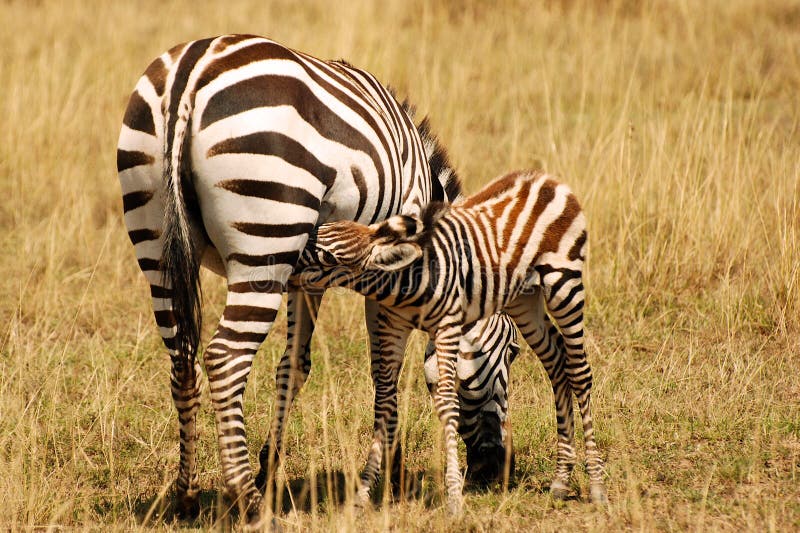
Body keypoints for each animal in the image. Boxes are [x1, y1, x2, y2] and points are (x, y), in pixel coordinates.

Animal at [116, 34, 515, 526]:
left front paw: (270, 467)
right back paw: (248, 502)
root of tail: (189, 73)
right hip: (264, 241)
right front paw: (391, 473)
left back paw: (187, 495)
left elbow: (294, 366)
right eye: (512, 353)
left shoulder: (308, 278)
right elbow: (386, 371)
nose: (496, 469)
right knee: (226, 358)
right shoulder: (393, 275)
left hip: (154, 238)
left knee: (182, 359)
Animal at [296, 169, 610, 514]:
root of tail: (546, 178)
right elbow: (384, 401)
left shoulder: (447, 326)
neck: (409, 277)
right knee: (556, 364)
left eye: (327, 256)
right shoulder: (393, 326)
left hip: (564, 282)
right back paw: (561, 479)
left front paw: (454, 498)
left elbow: (447, 403)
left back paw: (596, 485)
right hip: (524, 299)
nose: (282, 259)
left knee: (579, 372)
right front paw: (363, 493)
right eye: (319, 232)